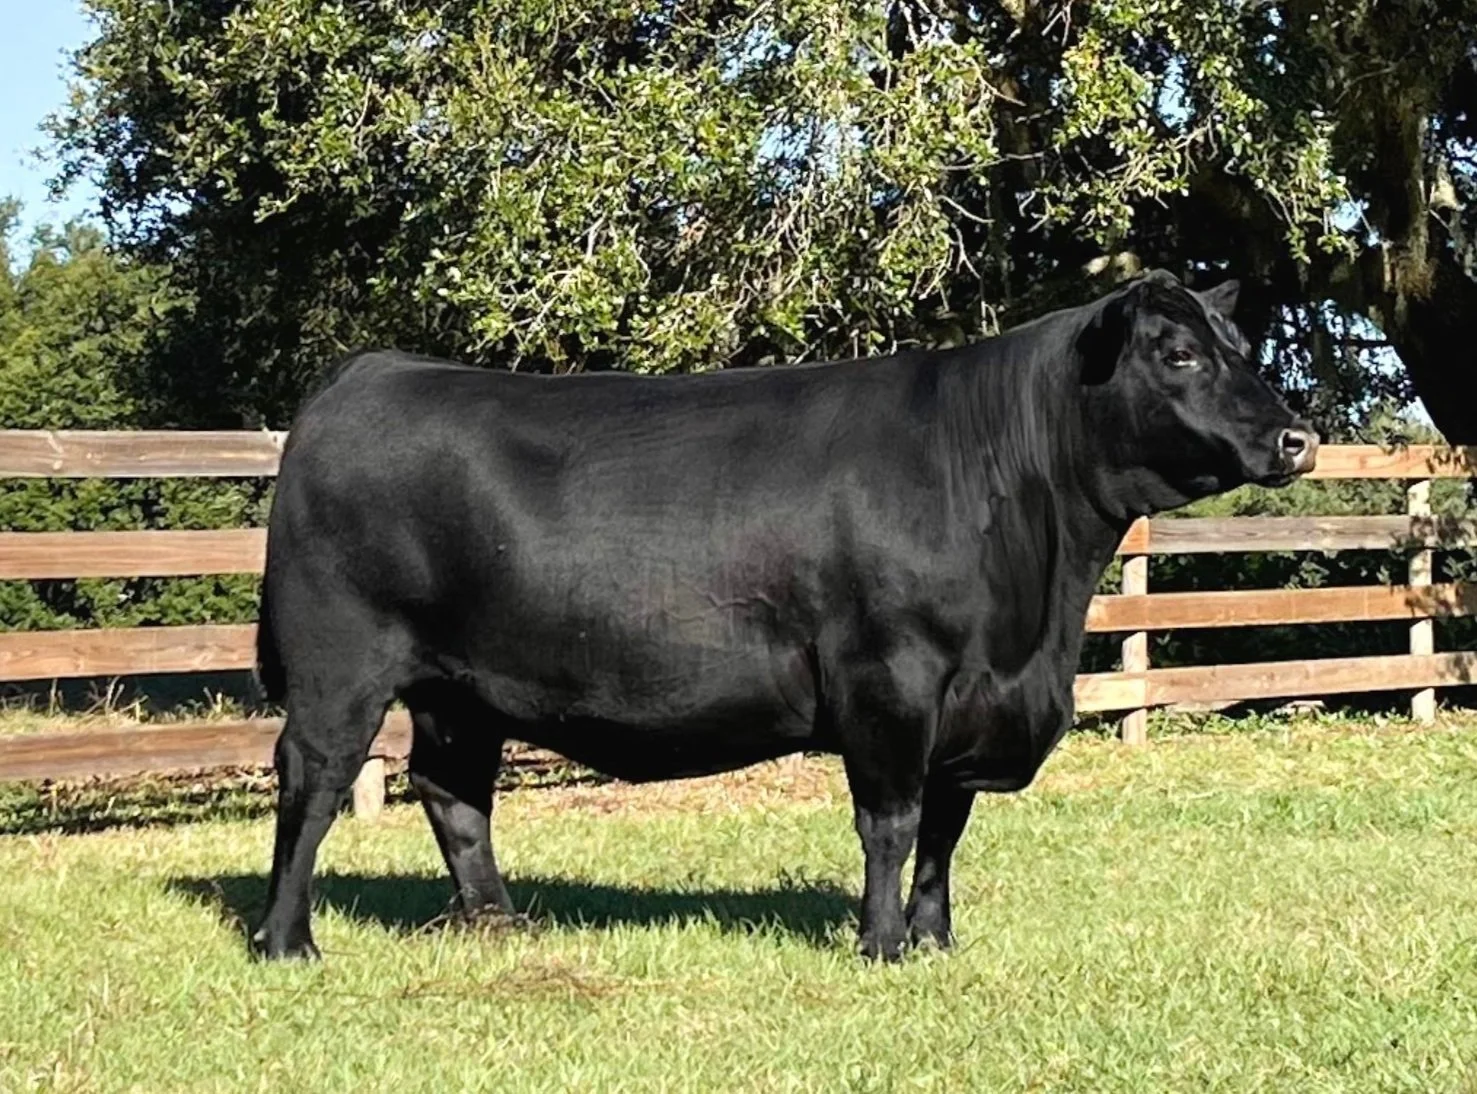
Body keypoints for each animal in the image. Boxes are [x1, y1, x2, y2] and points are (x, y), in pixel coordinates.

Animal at [249, 269, 1318, 963]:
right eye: (1175, 354)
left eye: (1241, 349)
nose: (1295, 437)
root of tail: (372, 373)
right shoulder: (890, 679)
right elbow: (891, 821)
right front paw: (881, 946)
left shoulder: (973, 701)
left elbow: (945, 829)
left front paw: (936, 941)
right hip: (341, 661)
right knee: (314, 781)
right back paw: (287, 941)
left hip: (459, 685)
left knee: (453, 789)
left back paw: (497, 925)